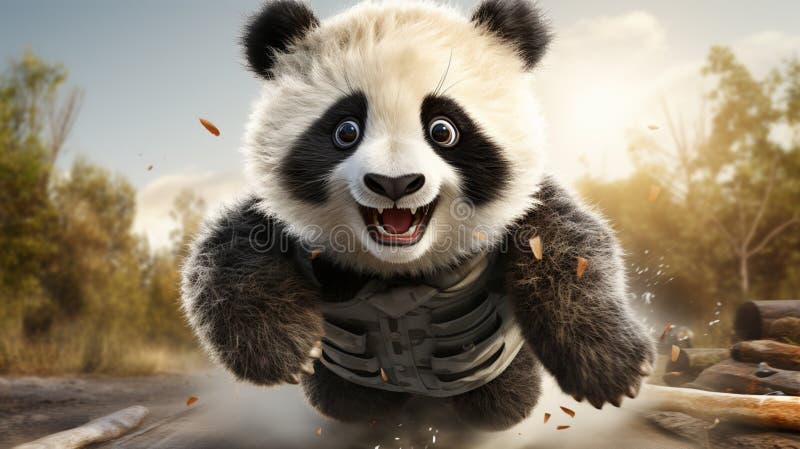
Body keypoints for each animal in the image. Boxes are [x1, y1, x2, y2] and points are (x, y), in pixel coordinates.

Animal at [181, 0, 655, 431]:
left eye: (443, 129)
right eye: (346, 130)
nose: (395, 183)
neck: (401, 272)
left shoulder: (523, 208)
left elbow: (571, 245)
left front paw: (611, 368)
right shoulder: (284, 226)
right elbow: (224, 256)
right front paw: (281, 349)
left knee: (502, 400)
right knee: (344, 399)